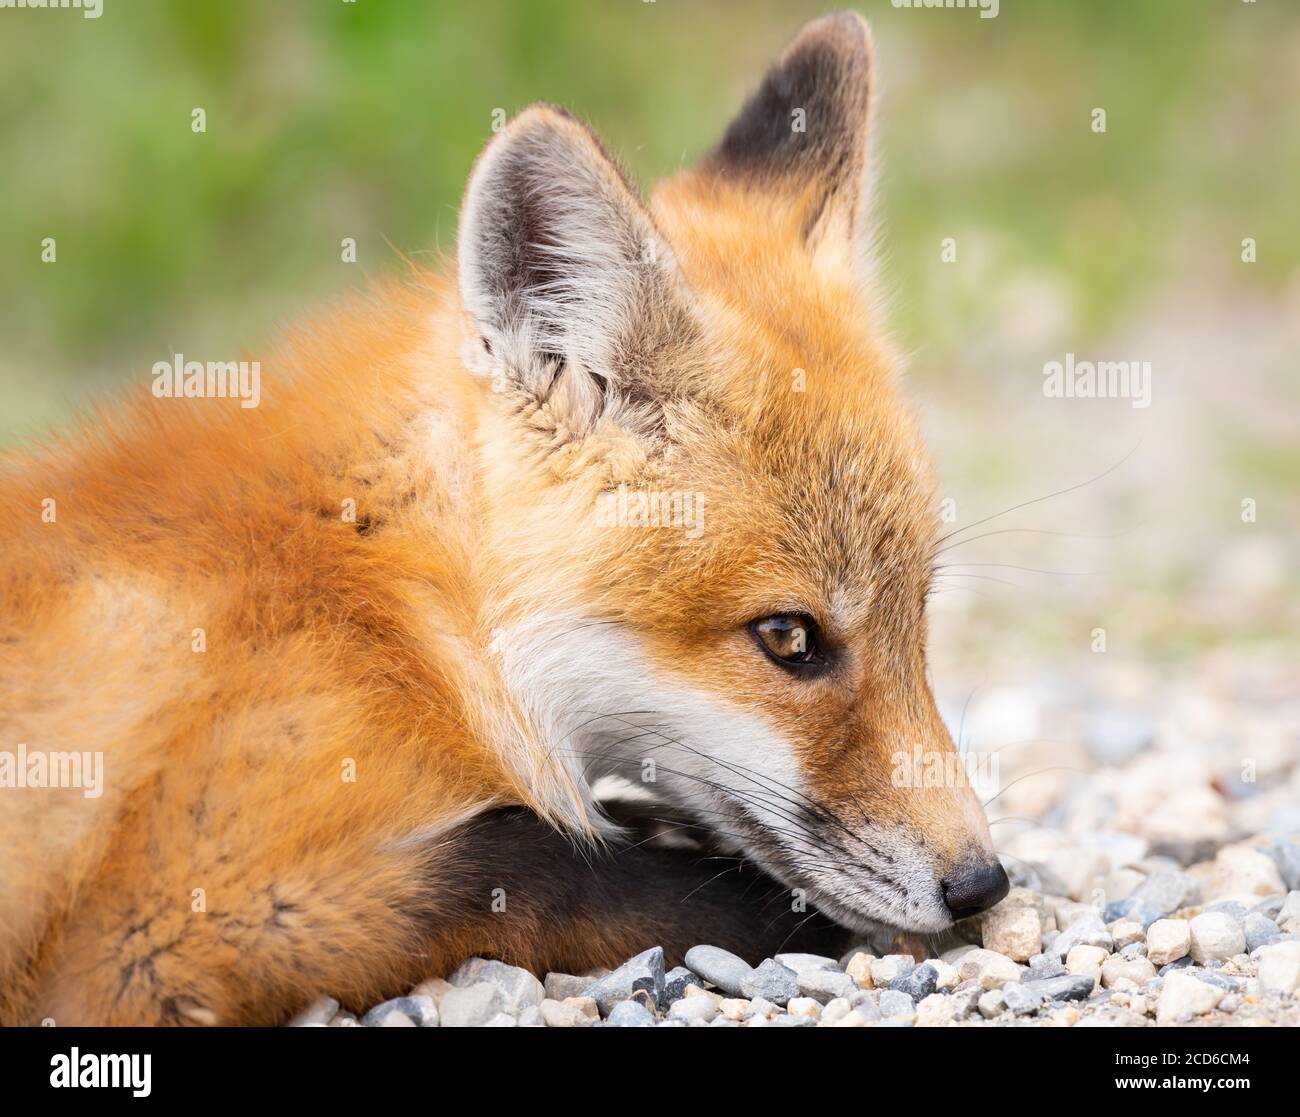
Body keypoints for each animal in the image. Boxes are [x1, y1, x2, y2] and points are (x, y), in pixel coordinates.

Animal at [0, 11, 1007, 1026]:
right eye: (789, 637)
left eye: (917, 615)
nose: (983, 883)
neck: (401, 614)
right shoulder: (161, 924)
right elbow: (540, 863)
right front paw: (755, 899)